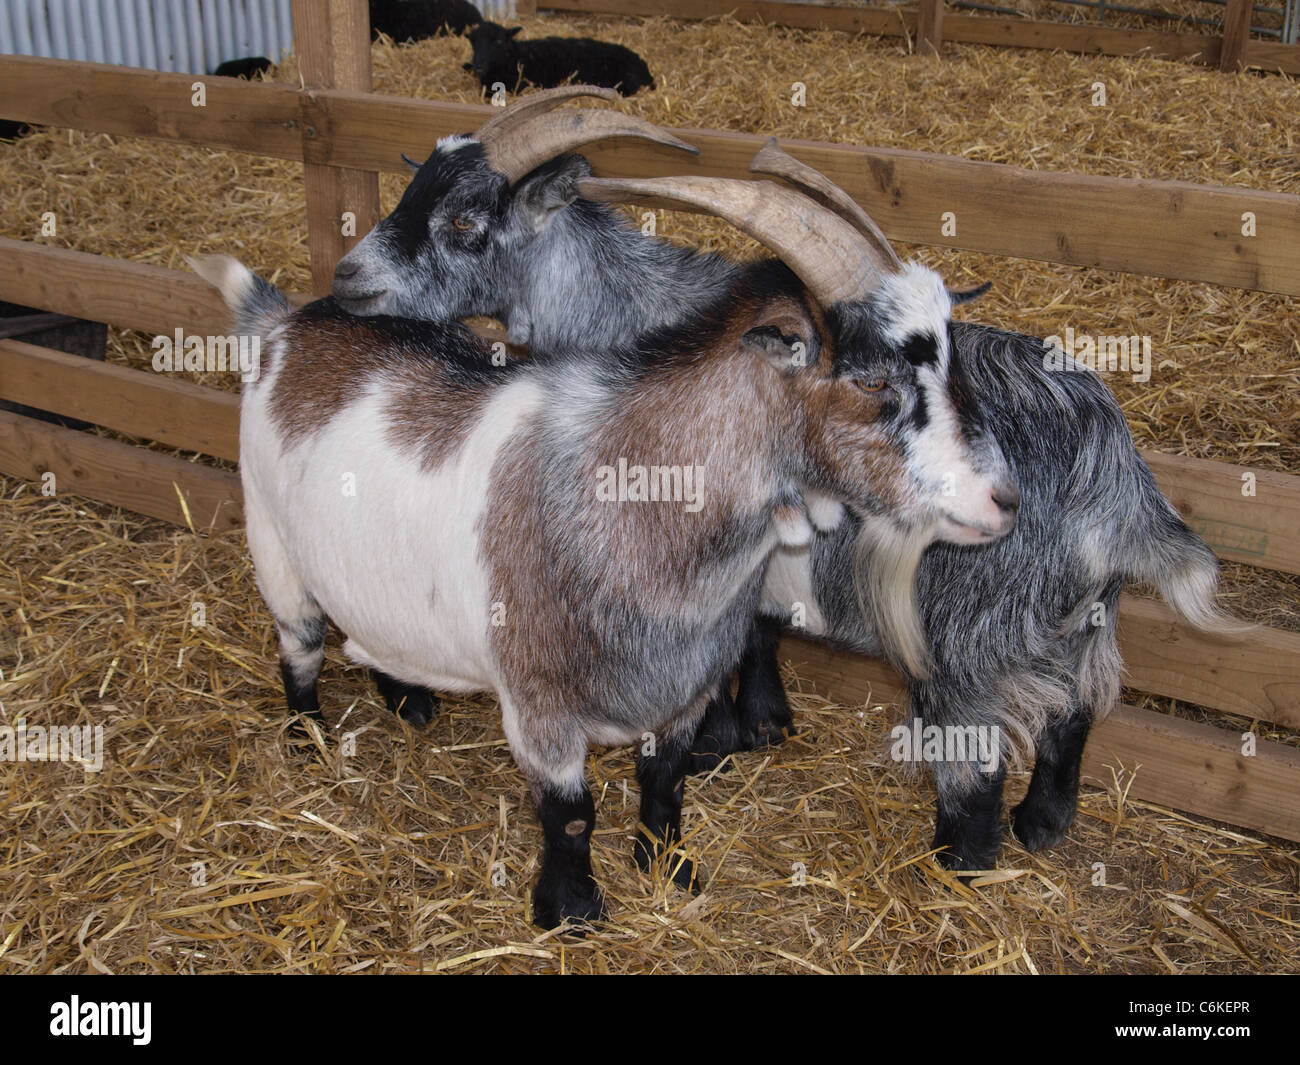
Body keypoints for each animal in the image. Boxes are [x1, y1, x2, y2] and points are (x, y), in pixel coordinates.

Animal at [194, 169, 1014, 928]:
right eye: (872, 377)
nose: (1004, 499)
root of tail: (286, 320)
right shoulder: (538, 703)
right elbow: (570, 812)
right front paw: (572, 911)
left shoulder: (686, 685)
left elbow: (665, 782)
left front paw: (669, 870)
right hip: (274, 545)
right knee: (300, 649)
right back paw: (308, 741)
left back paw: (408, 698)